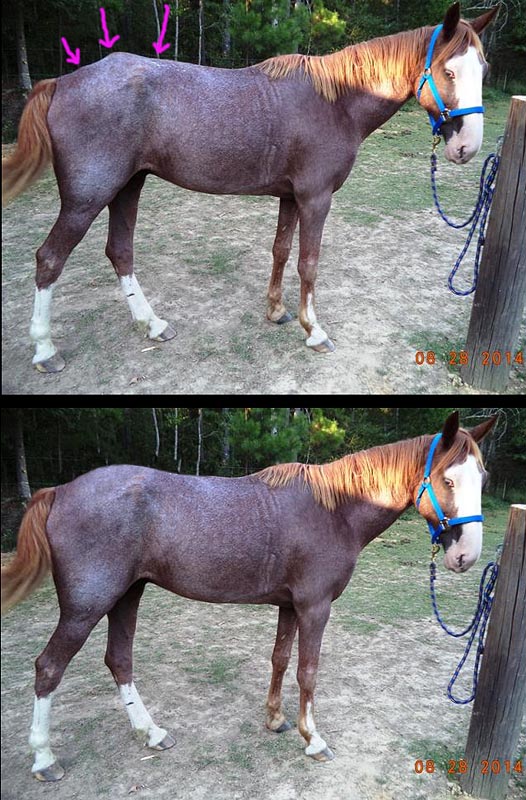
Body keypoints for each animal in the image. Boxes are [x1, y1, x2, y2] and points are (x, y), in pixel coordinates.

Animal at [1, 4, 499, 373]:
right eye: (449, 71)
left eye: (483, 69)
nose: (468, 147)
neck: (336, 100)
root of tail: (63, 82)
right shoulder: (315, 199)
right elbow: (308, 263)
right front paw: (314, 331)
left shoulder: (290, 197)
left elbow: (281, 250)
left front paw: (276, 312)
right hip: (87, 198)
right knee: (50, 259)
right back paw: (45, 349)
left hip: (127, 187)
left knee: (119, 252)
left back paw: (153, 325)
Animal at [1, 410, 496, 781]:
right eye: (448, 480)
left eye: (482, 477)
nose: (466, 556)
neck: (335, 509)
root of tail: (61, 490)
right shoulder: (314, 608)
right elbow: (307, 671)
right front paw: (313, 739)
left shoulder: (289, 607)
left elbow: (280, 659)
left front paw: (275, 720)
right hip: (86, 607)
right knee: (49, 668)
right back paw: (44, 758)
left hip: (127, 596)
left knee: (118, 661)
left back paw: (152, 733)